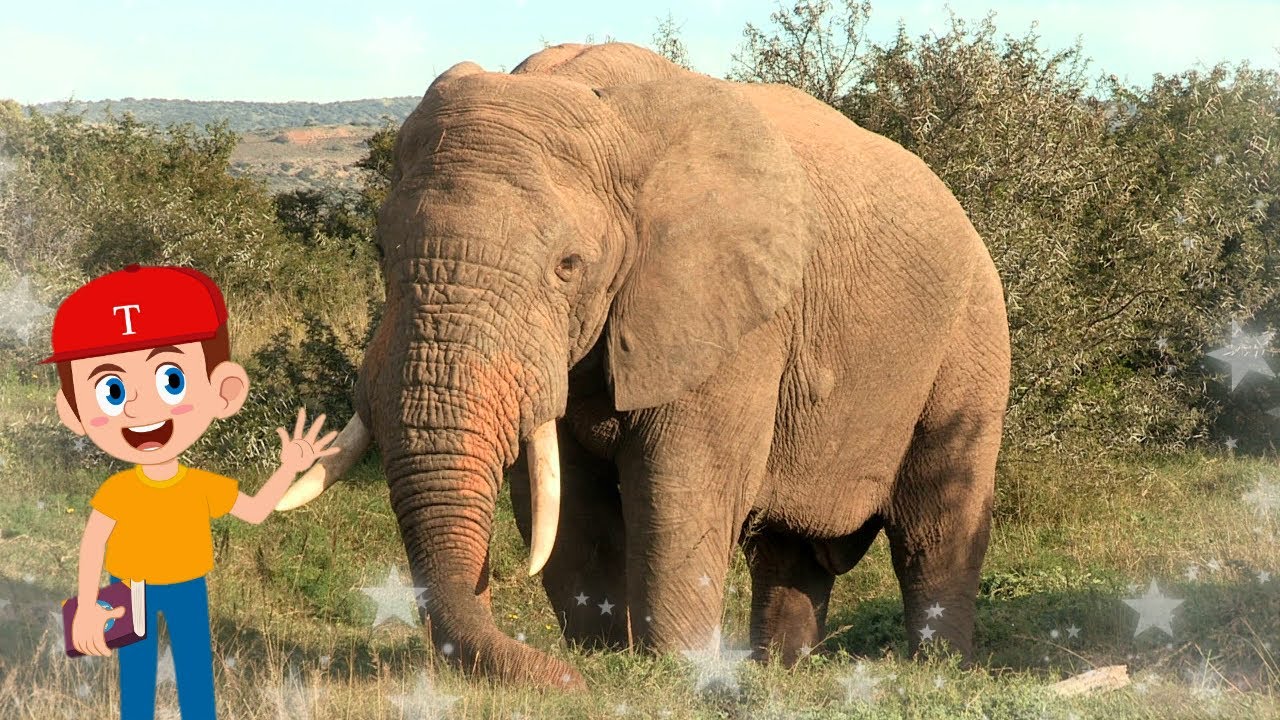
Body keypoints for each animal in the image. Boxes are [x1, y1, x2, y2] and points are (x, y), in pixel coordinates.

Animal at [278, 42, 1011, 688]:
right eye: (380, 249)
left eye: (568, 265)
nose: (563, 679)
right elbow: (566, 499)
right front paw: (603, 658)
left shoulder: (728, 314)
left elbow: (683, 480)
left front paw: (673, 673)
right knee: (790, 552)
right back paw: (779, 672)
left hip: (972, 336)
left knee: (934, 526)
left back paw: (936, 670)